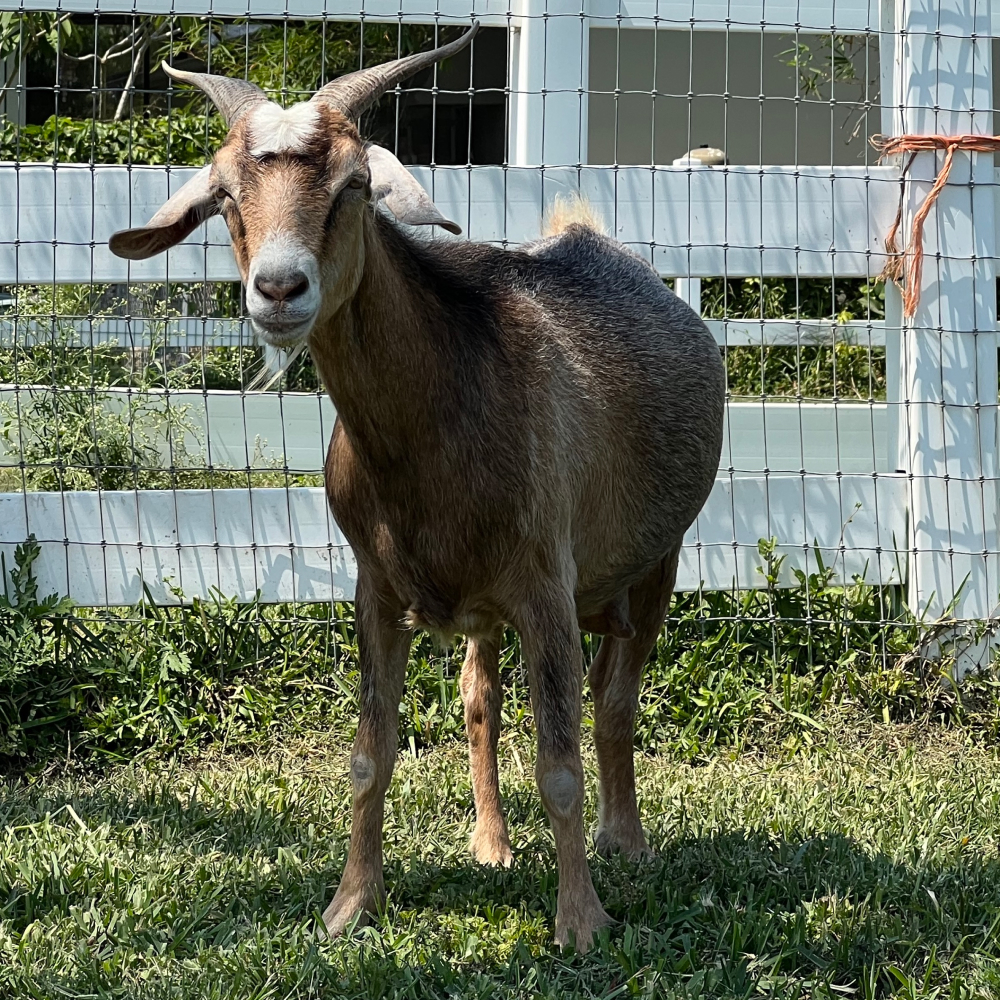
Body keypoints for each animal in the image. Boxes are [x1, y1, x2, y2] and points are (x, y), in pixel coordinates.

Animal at [109, 24, 726, 952]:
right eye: (224, 196)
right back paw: (491, 843)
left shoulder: (547, 582)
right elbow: (372, 753)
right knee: (482, 698)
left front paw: (580, 922)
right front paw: (350, 905)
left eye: (356, 185)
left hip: (658, 557)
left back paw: (627, 841)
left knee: (615, 699)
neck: (443, 407)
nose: (279, 289)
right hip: (491, 605)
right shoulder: (377, 586)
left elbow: (562, 764)